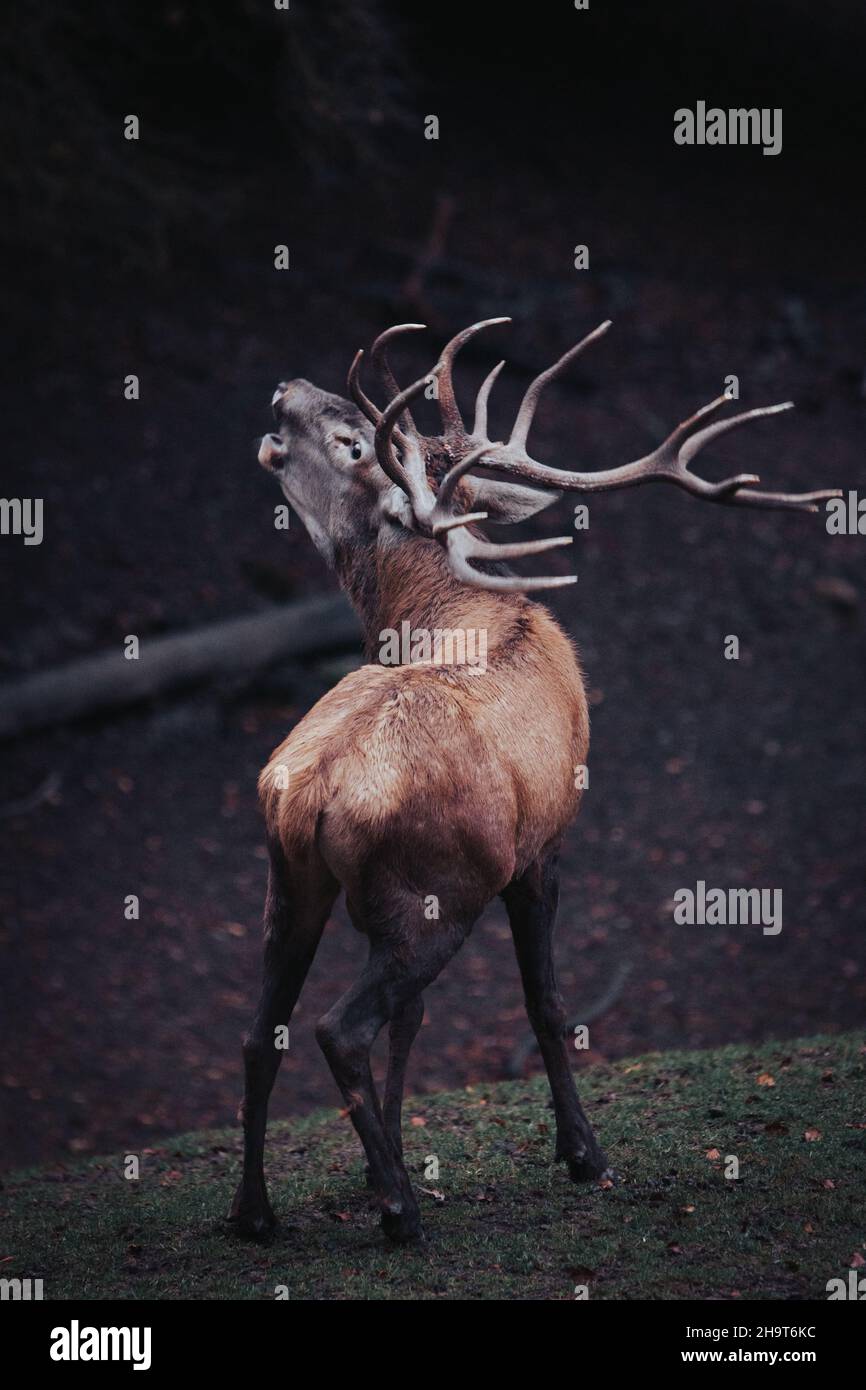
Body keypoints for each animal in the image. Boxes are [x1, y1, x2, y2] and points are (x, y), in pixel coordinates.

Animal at [231, 317, 838, 1243]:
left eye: (353, 439)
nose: (283, 389)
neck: (442, 608)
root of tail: (307, 790)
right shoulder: (541, 849)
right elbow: (546, 1002)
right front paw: (584, 1155)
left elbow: (417, 1027)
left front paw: (395, 1158)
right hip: (434, 896)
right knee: (340, 1028)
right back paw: (400, 1211)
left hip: (292, 883)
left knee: (264, 1030)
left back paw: (255, 1211)